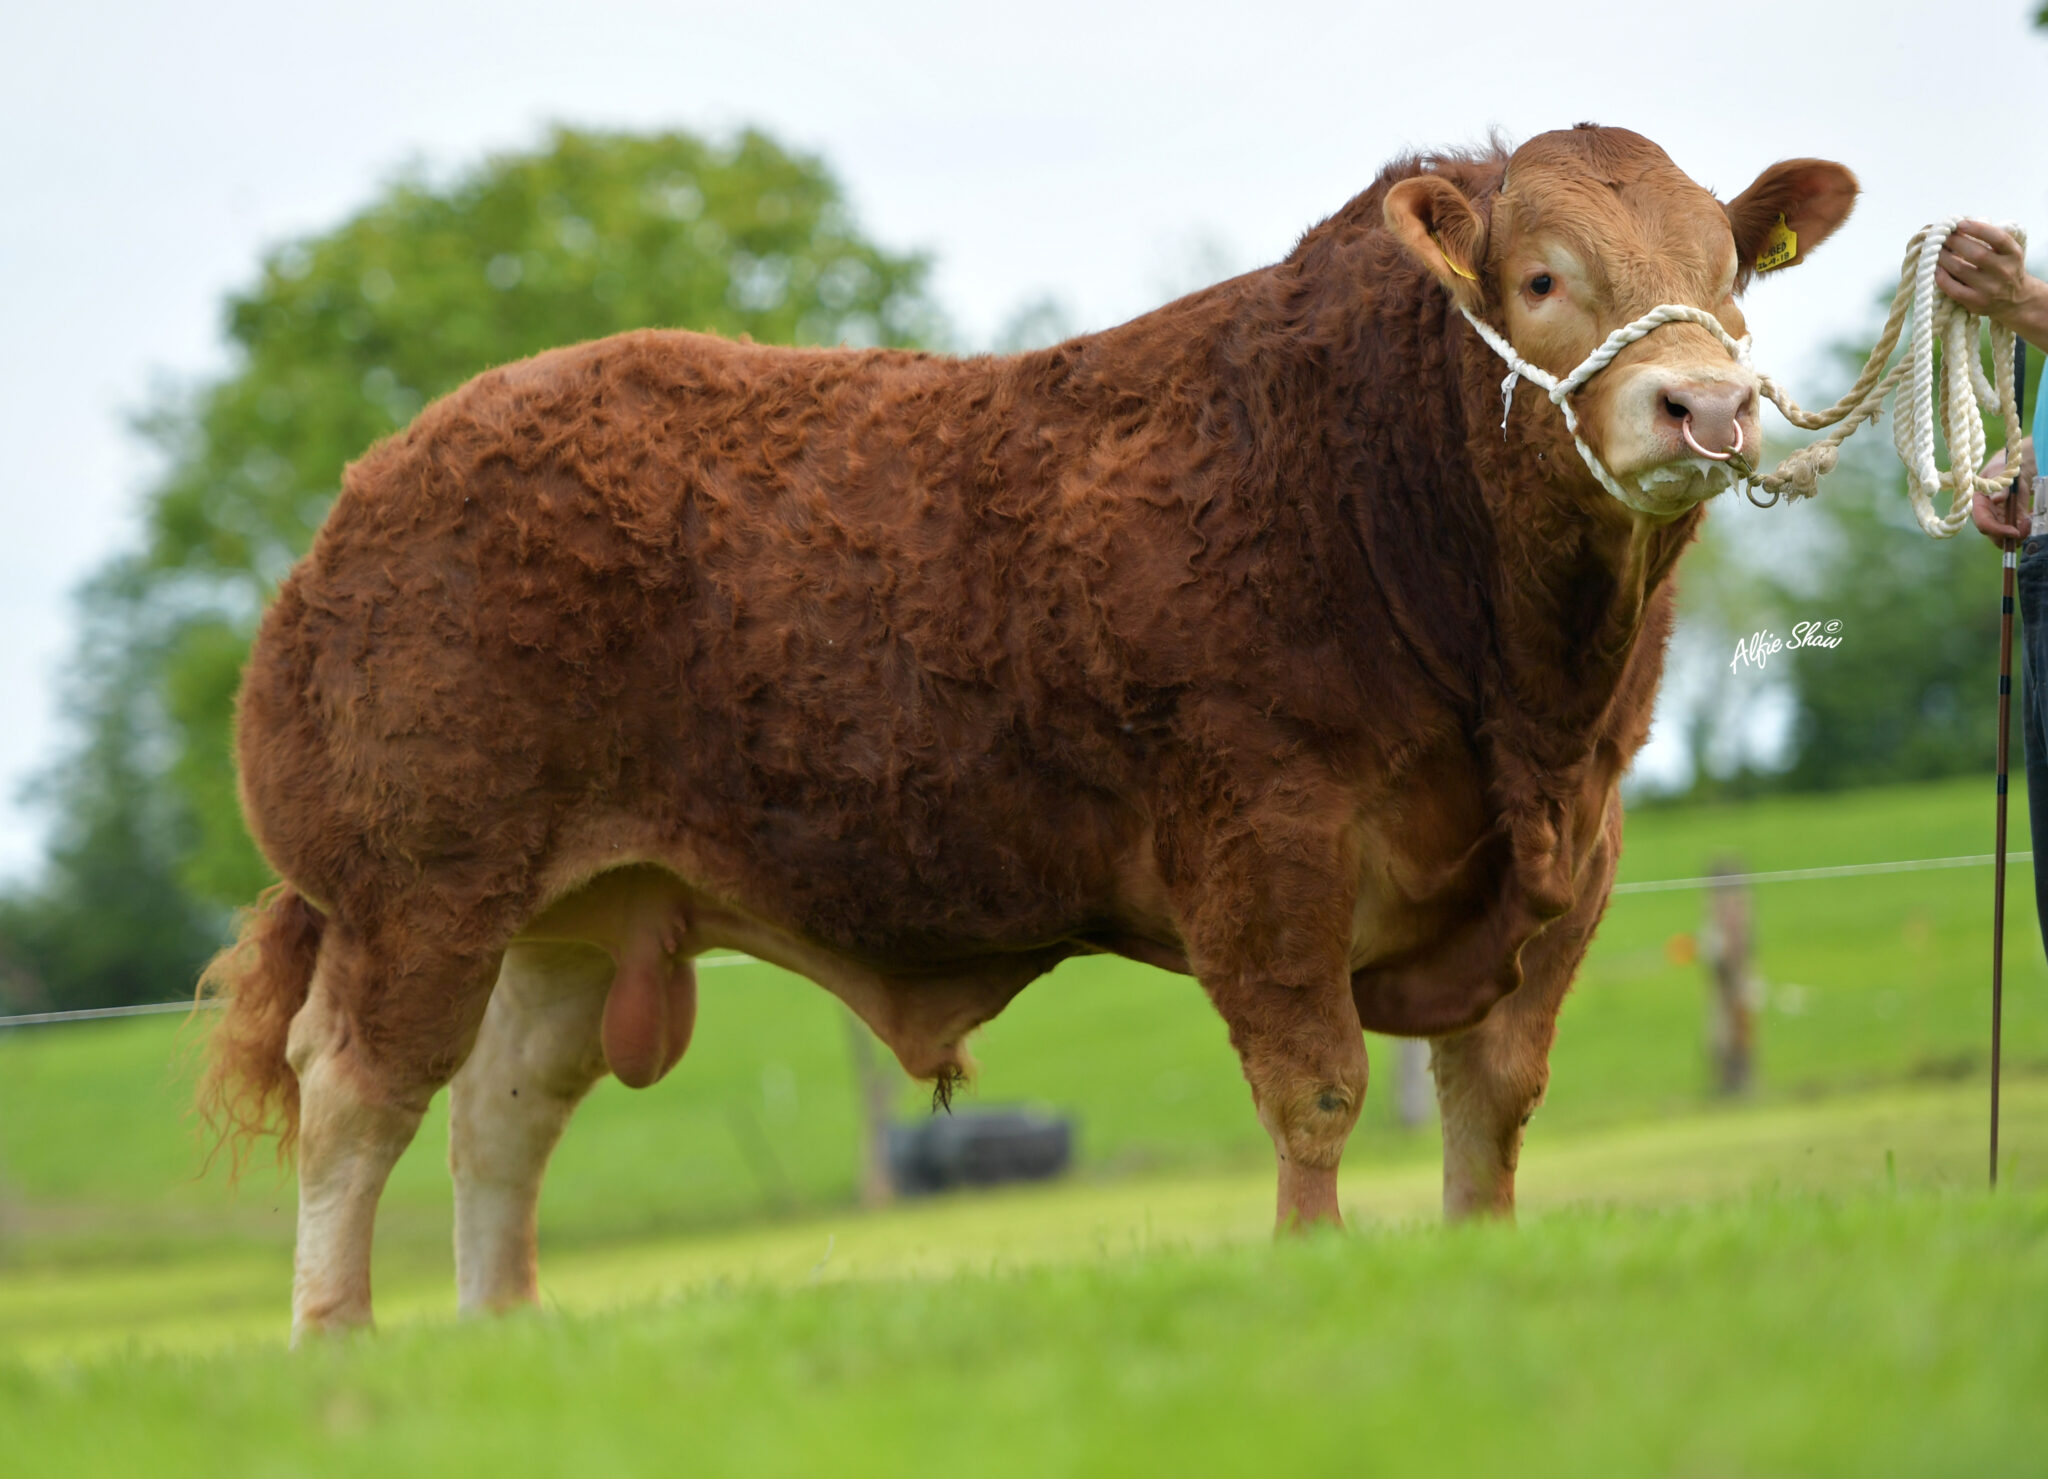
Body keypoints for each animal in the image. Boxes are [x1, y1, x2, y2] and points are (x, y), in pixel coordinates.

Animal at [199, 124, 1858, 1340]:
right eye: (1541, 277)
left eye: (1731, 269)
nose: (1705, 405)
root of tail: (378, 480)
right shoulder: (1264, 840)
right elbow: (1316, 1083)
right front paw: (1312, 1268)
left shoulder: (1578, 855)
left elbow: (1493, 1096)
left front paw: (1478, 1258)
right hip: (419, 886)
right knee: (358, 1093)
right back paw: (339, 1340)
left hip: (568, 912)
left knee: (500, 1109)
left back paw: (501, 1331)